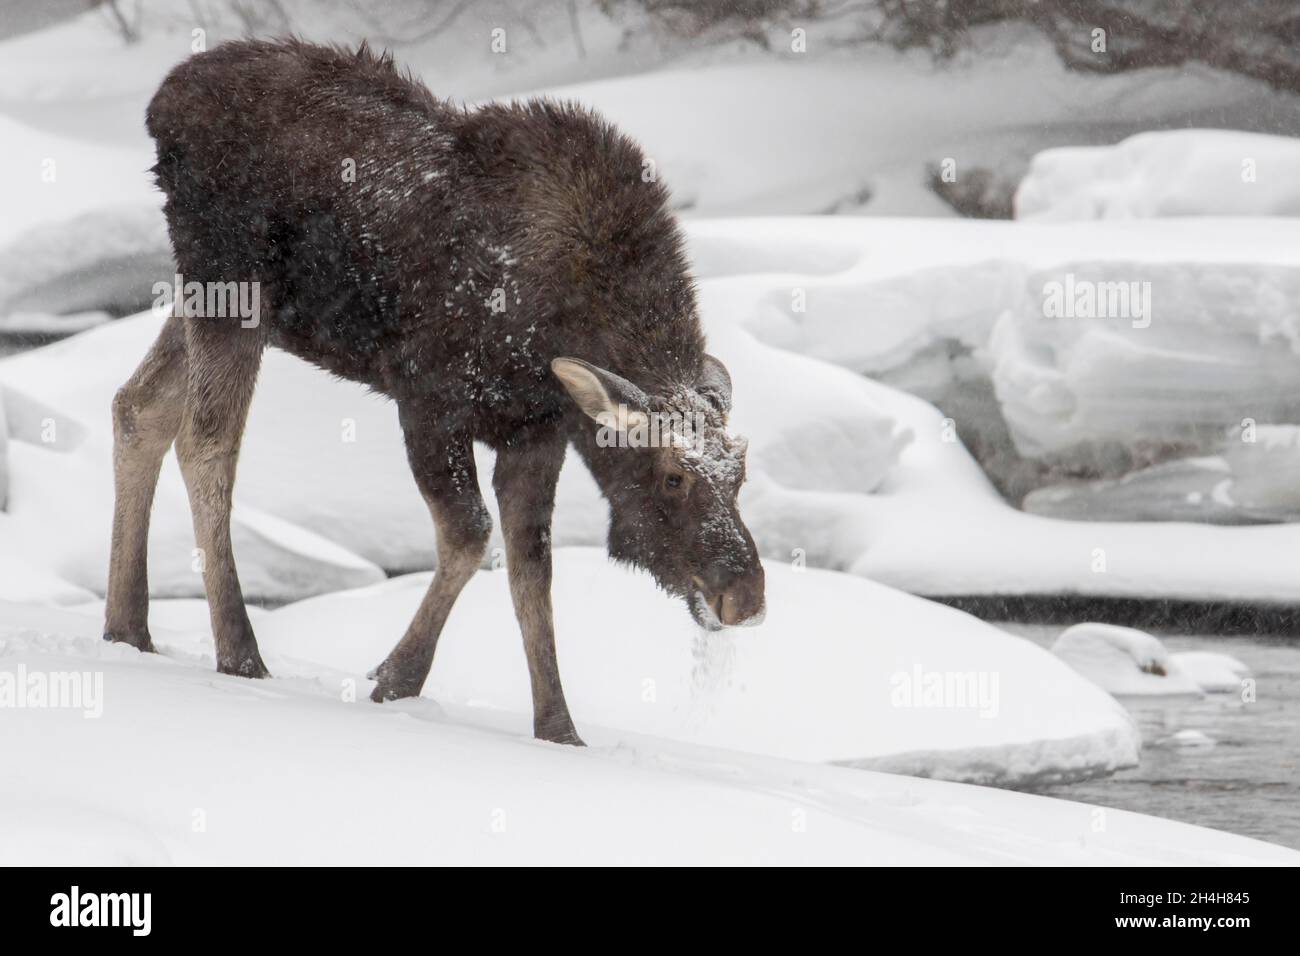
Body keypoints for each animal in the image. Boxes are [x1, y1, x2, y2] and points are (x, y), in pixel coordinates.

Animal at [103, 39, 766, 746]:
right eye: (672, 476)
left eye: (741, 475)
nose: (747, 598)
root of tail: (162, 104)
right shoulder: (429, 397)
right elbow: (471, 535)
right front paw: (396, 677)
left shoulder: (536, 436)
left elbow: (532, 569)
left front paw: (559, 728)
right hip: (230, 288)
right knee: (206, 441)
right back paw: (239, 652)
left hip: (218, 302)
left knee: (137, 408)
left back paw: (127, 628)